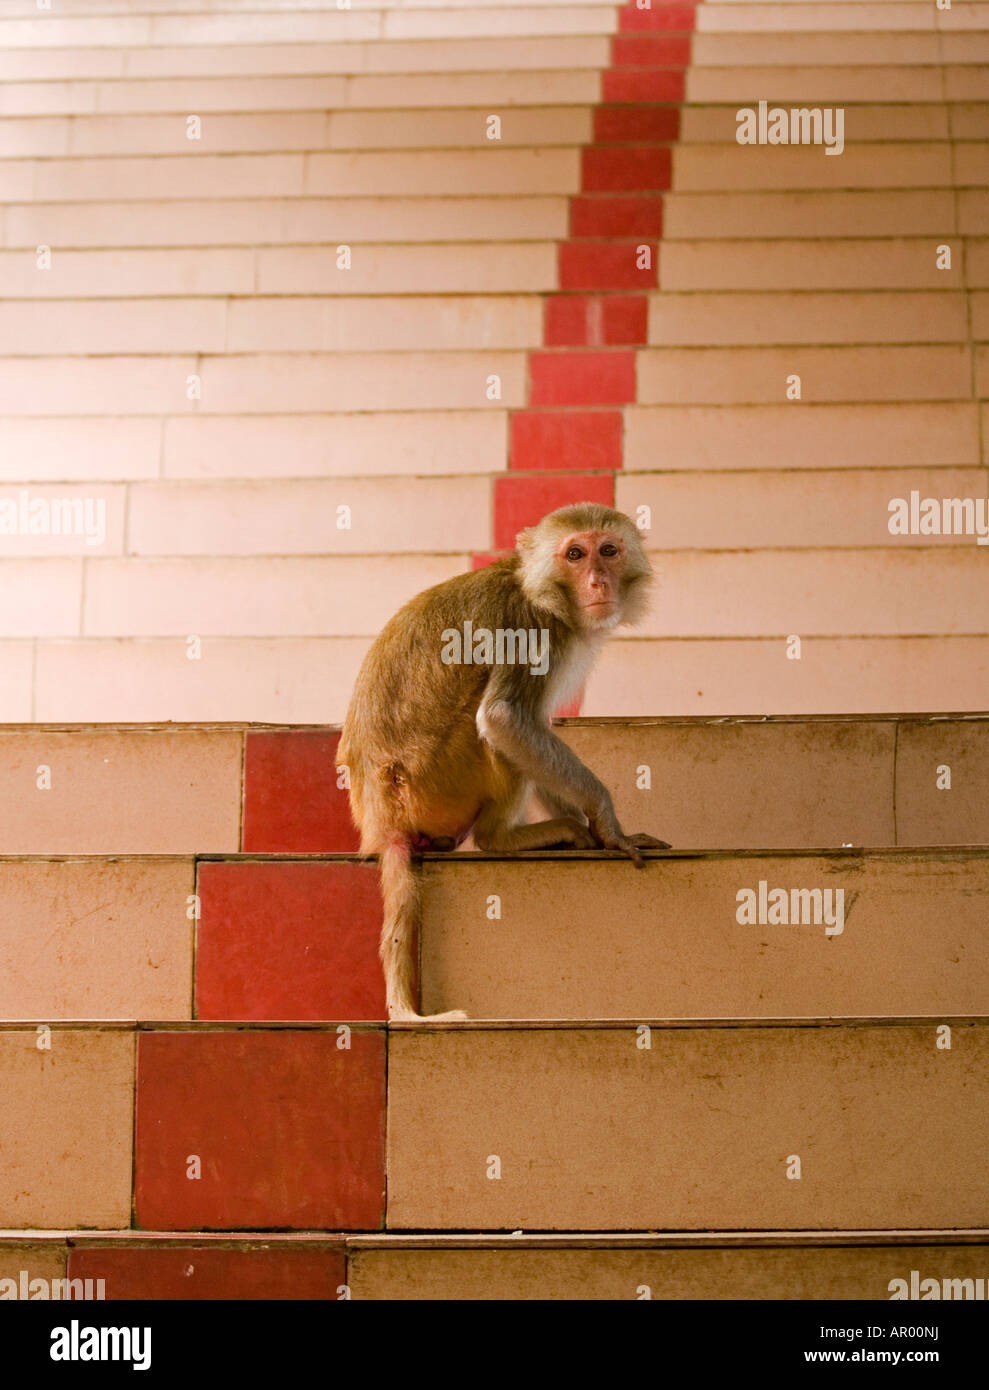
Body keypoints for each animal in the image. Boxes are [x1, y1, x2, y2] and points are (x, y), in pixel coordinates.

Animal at [337, 502, 669, 1022]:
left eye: (608, 551)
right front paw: (608, 823)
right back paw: (503, 838)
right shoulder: (533, 631)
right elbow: (507, 720)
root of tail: (381, 818)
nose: (598, 581)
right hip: (437, 777)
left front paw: (596, 826)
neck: (540, 591)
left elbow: (535, 731)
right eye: (575, 554)